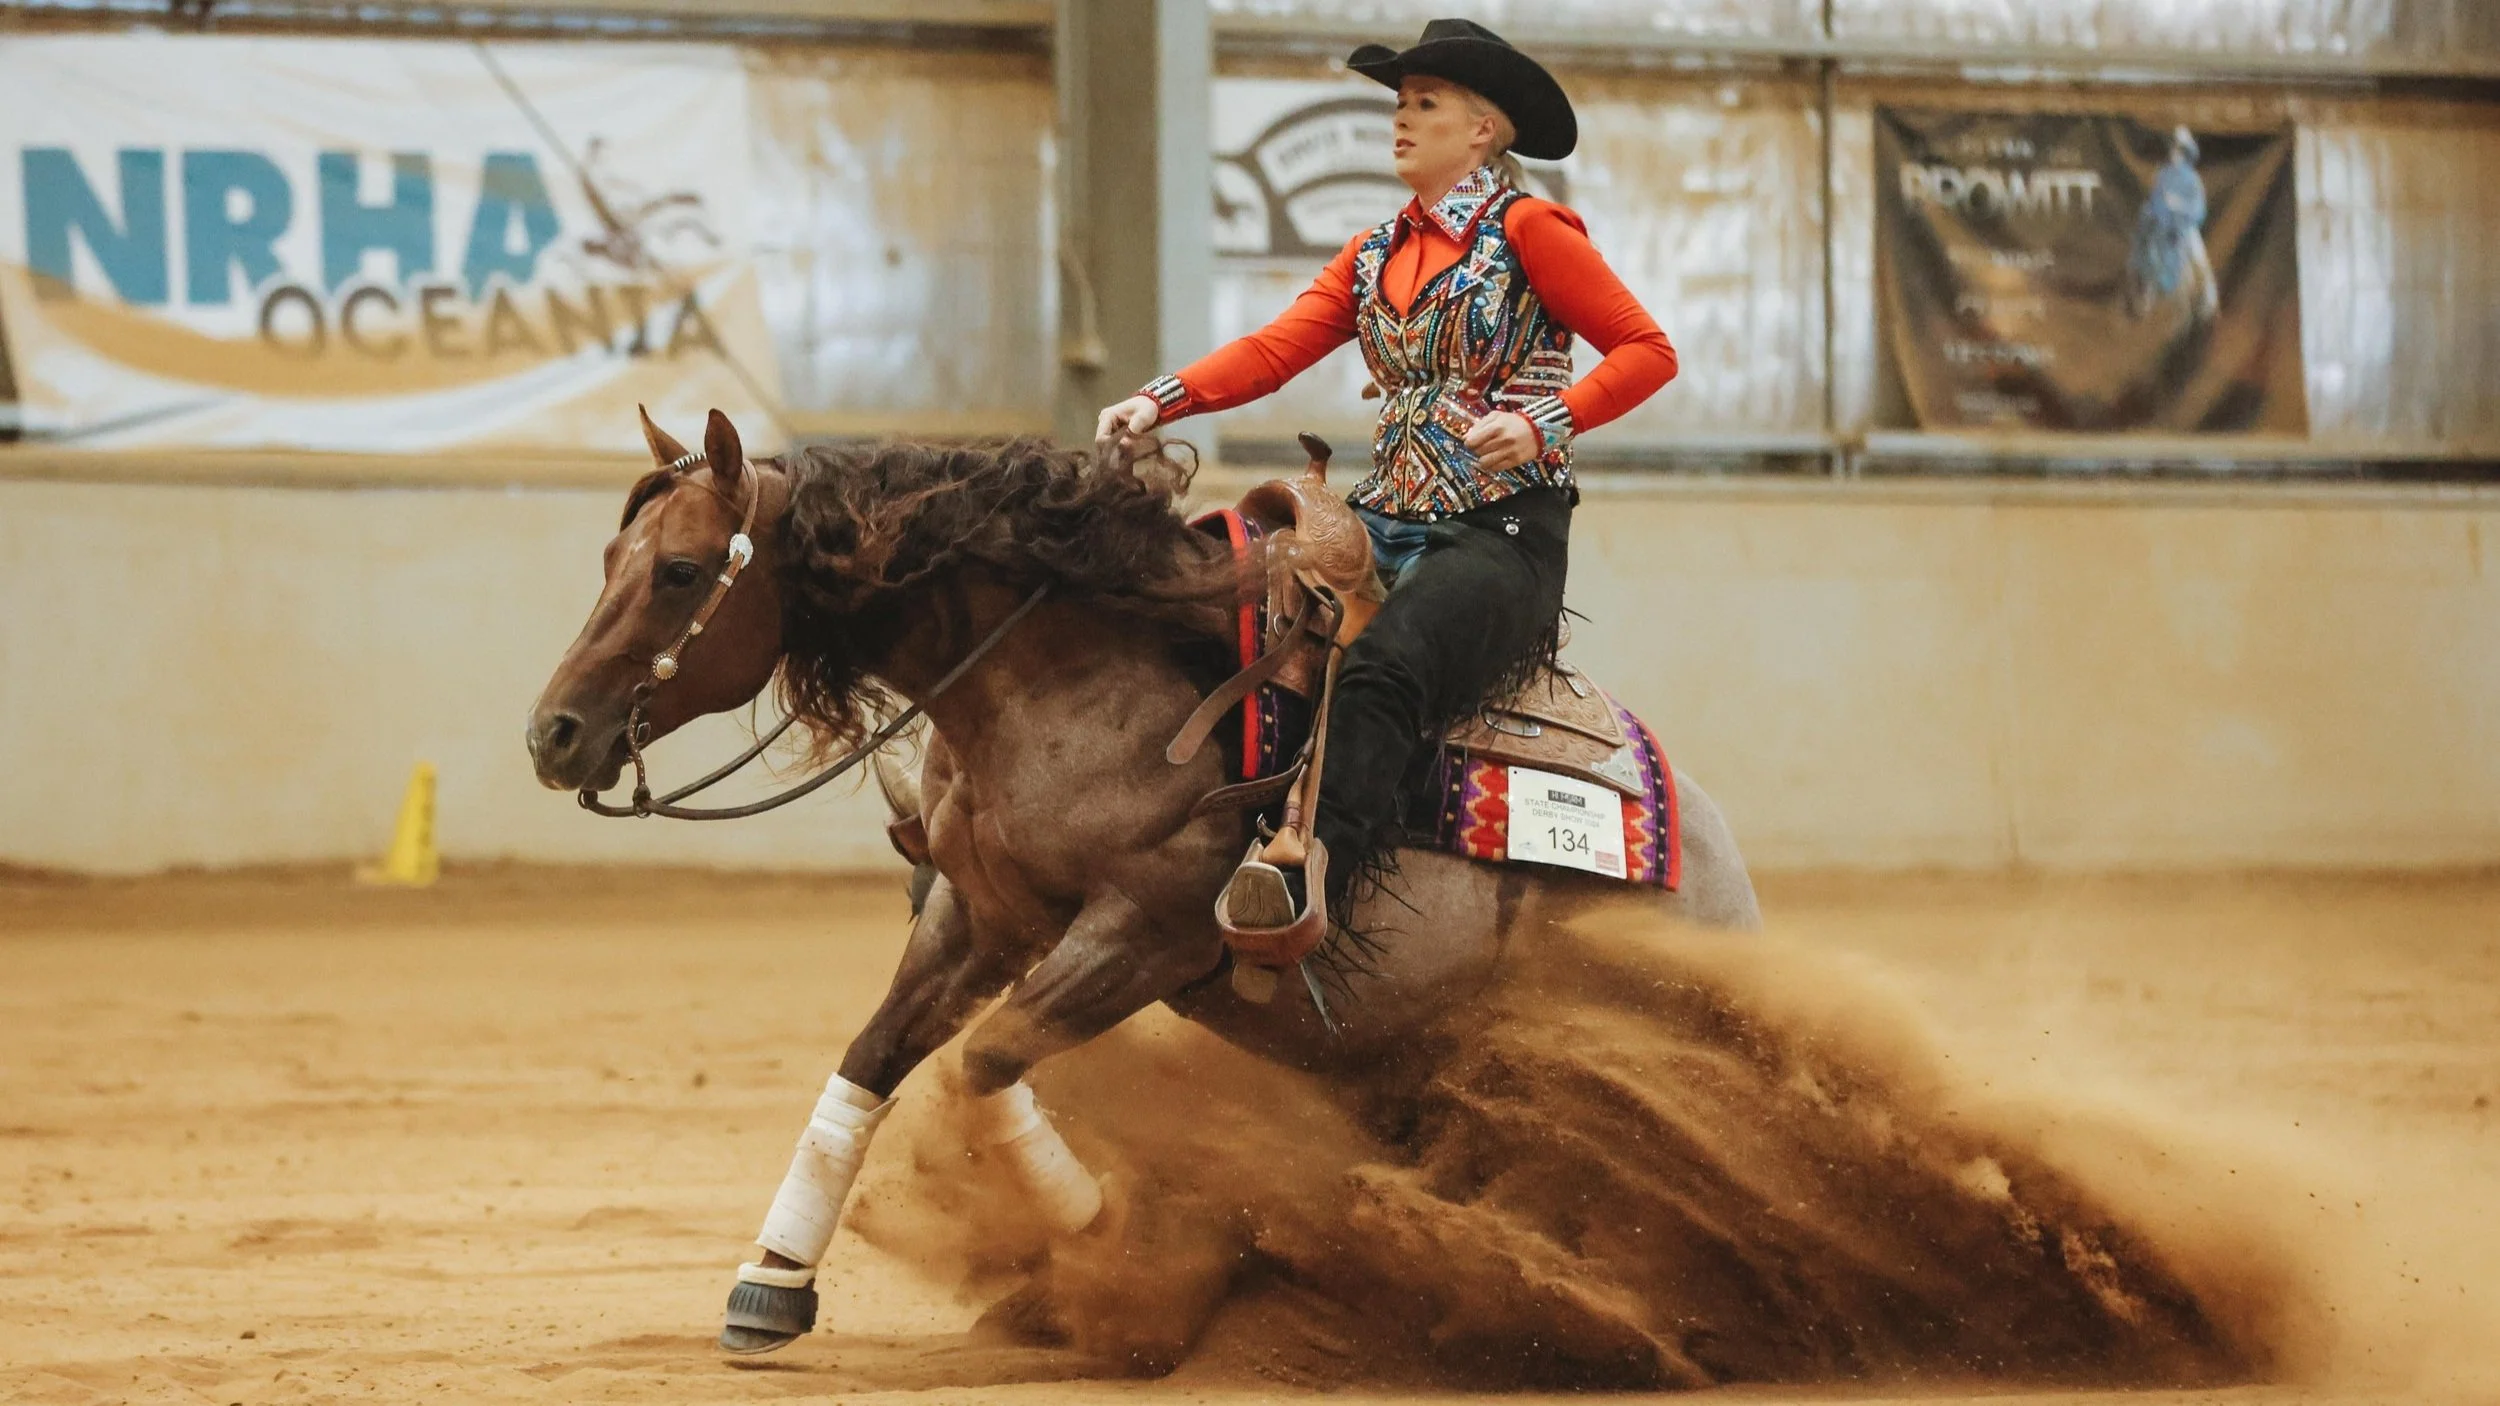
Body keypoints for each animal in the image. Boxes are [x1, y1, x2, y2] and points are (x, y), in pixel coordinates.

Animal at [525, 408, 1762, 1359]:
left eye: (681, 569)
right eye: (609, 560)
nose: (554, 733)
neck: (1064, 675)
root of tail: (1712, 863)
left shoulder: (1144, 931)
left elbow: (988, 1059)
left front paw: (1099, 1241)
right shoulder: (980, 914)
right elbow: (870, 1059)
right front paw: (773, 1280)